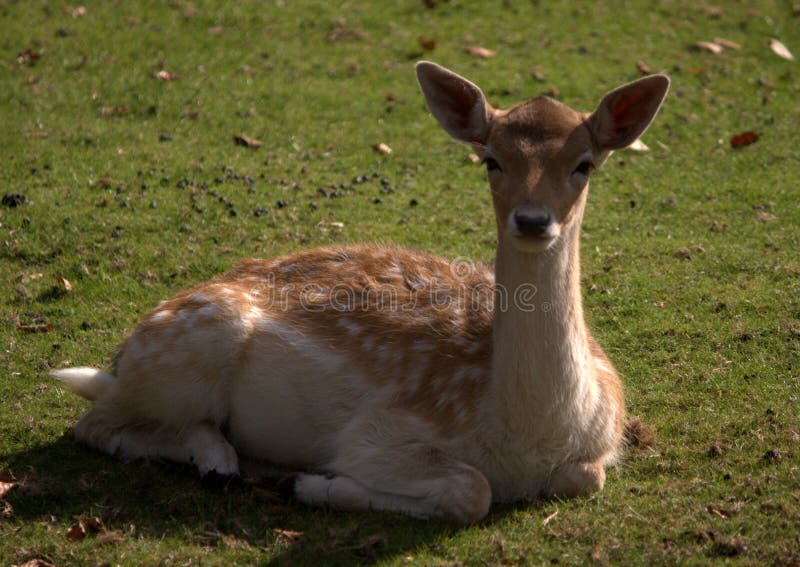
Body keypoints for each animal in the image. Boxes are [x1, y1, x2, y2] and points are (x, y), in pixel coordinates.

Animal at [52, 61, 669, 524]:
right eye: (491, 160)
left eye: (585, 164)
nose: (534, 220)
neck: (531, 436)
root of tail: (123, 353)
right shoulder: (377, 435)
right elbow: (471, 491)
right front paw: (317, 486)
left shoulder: (602, 442)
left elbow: (586, 476)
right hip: (186, 350)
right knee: (93, 424)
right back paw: (223, 463)